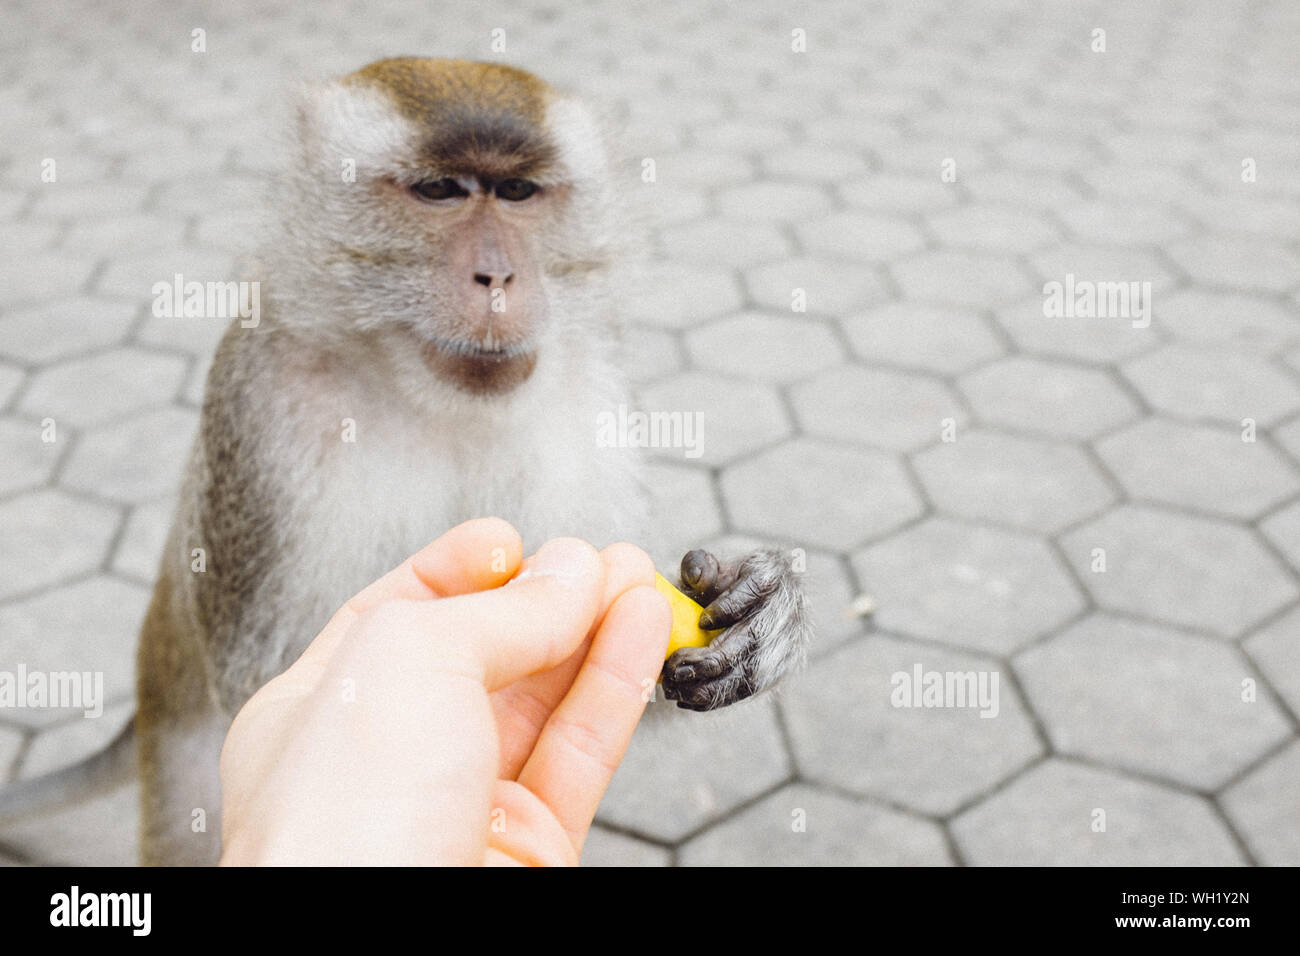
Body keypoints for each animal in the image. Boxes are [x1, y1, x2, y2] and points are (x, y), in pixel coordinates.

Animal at [0, 58, 810, 866]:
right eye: (439, 191)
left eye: (517, 193)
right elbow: (270, 684)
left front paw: (760, 599)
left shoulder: (591, 386)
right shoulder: (262, 399)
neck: (435, 399)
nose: (497, 277)